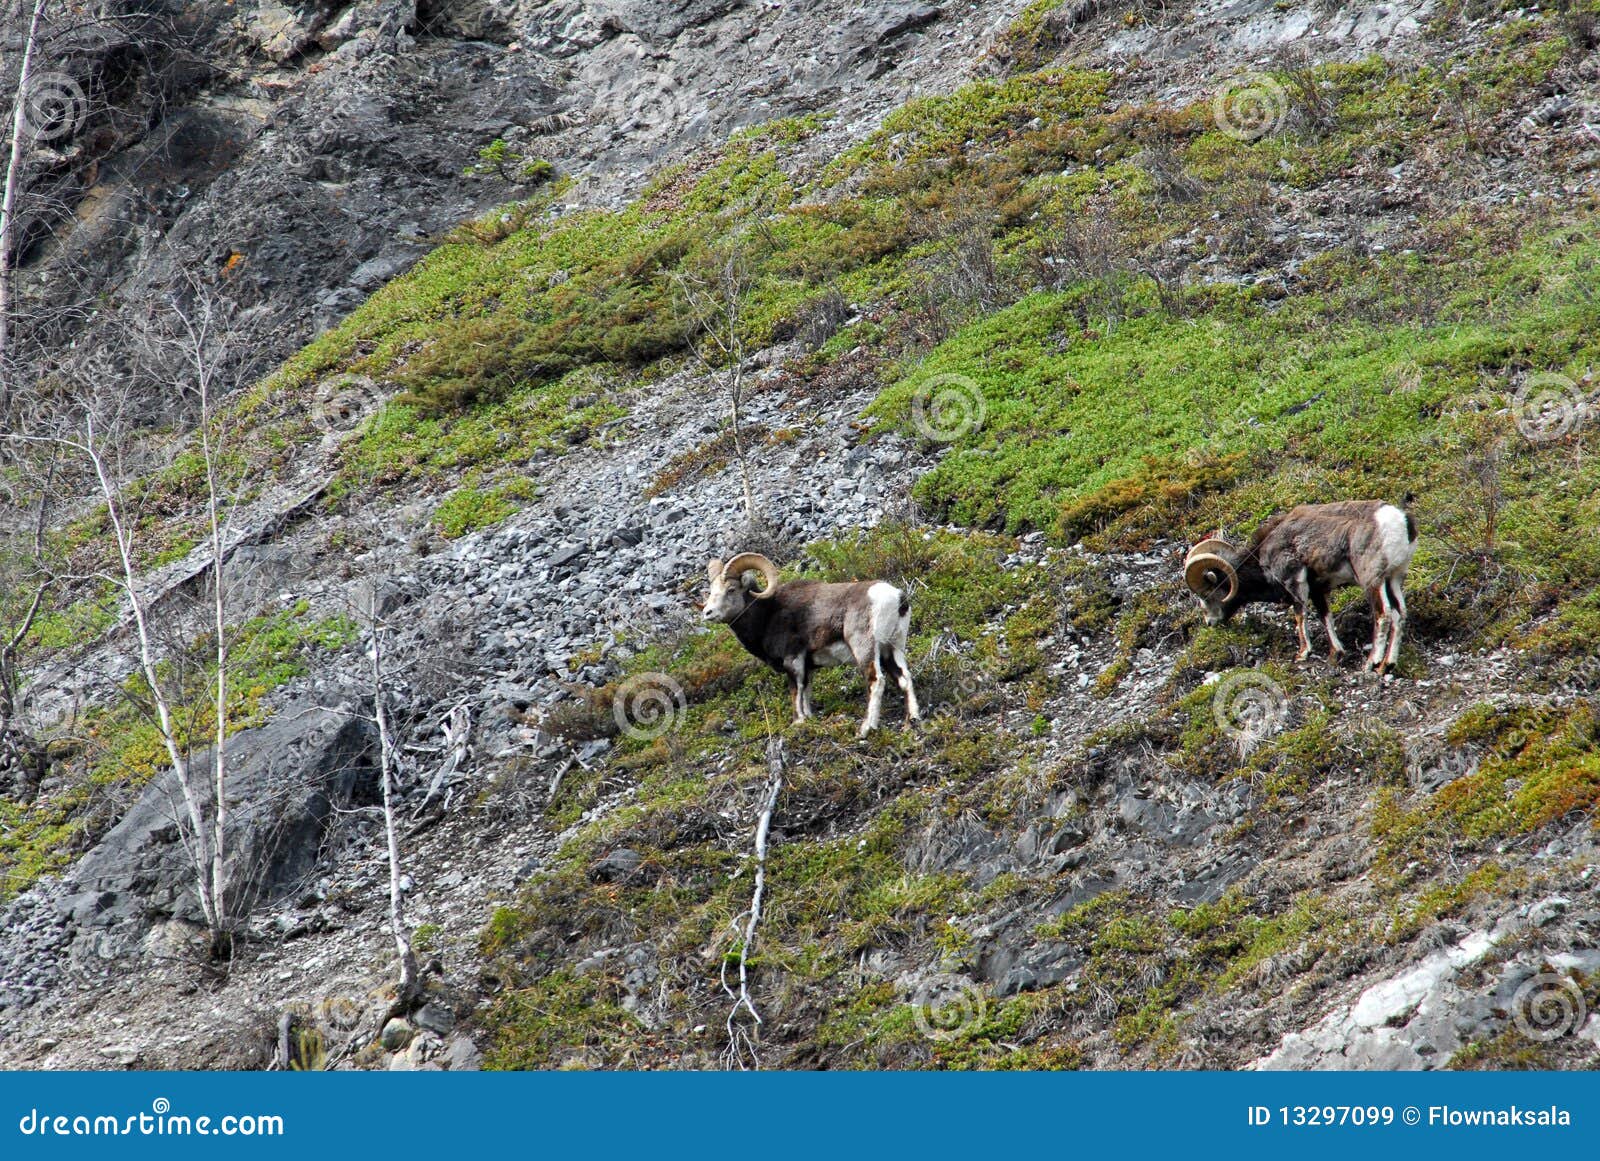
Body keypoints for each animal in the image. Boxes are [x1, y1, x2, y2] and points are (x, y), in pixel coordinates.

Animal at [701, 553, 920, 737]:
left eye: (731, 589)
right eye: (712, 591)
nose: (707, 613)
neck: (767, 615)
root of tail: (896, 598)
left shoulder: (793, 660)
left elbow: (795, 691)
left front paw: (798, 722)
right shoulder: (808, 667)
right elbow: (805, 693)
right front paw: (809, 719)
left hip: (865, 649)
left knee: (876, 681)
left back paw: (865, 729)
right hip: (891, 649)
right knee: (904, 678)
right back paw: (911, 723)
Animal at [1182, 499, 1418, 674]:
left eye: (1206, 594)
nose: (1210, 622)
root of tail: (1399, 521)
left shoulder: (1295, 580)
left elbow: (1299, 614)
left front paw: (1303, 653)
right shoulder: (1319, 590)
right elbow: (1325, 617)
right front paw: (1336, 653)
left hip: (1372, 581)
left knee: (1383, 615)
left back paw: (1370, 663)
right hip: (1393, 579)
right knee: (1400, 614)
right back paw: (1386, 666)